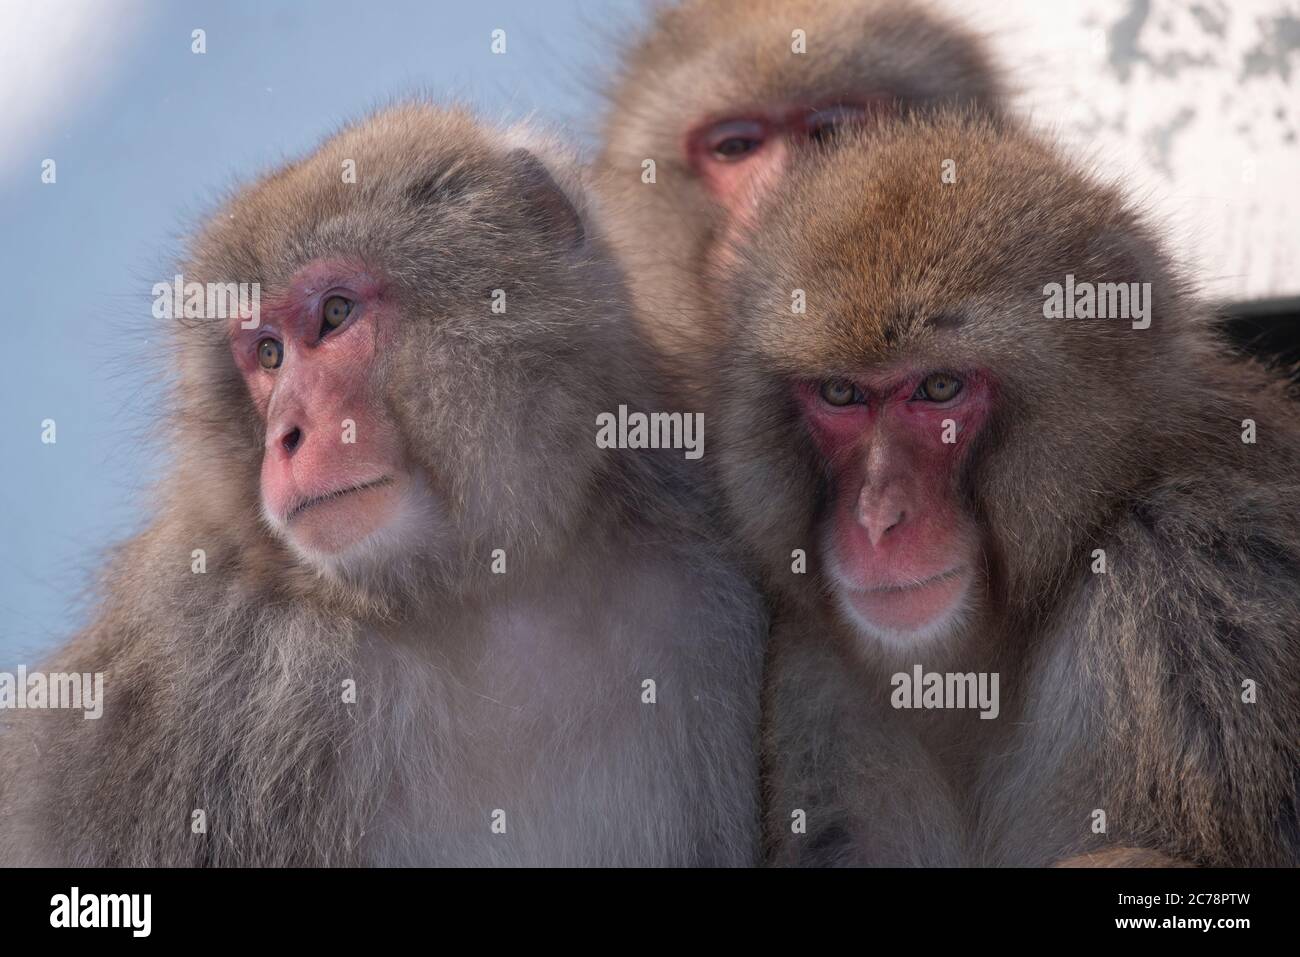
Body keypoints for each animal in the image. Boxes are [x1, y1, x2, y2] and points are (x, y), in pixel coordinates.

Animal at [0, 104, 765, 867]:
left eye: (336, 313)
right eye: (269, 354)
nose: (286, 435)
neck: (482, 599)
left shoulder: (700, 594)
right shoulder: (236, 670)